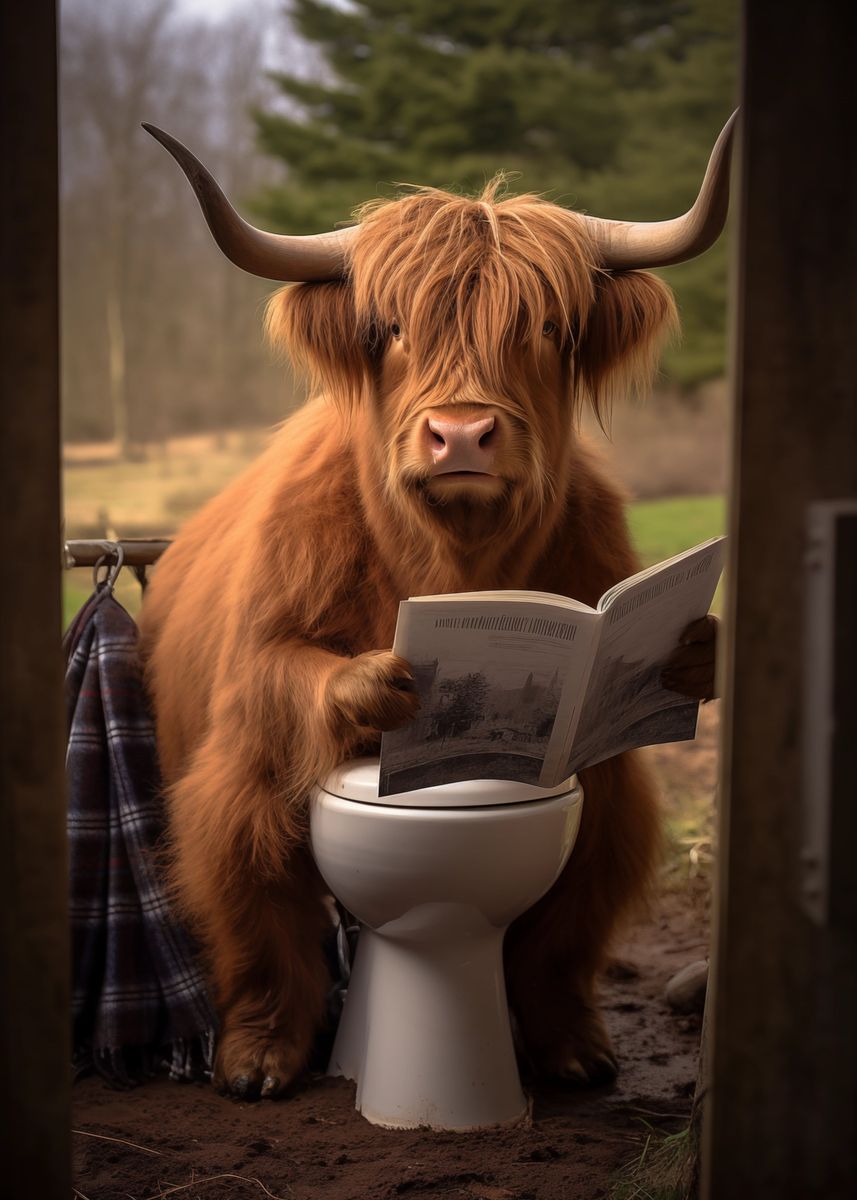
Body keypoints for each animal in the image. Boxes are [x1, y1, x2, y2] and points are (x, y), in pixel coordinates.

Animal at [138, 115, 733, 1100]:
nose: (460, 435)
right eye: (389, 328)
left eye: (545, 325)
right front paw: (259, 1056)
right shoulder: (253, 700)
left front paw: (572, 1047)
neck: (453, 560)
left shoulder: (604, 782)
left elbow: (568, 923)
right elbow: (255, 903)